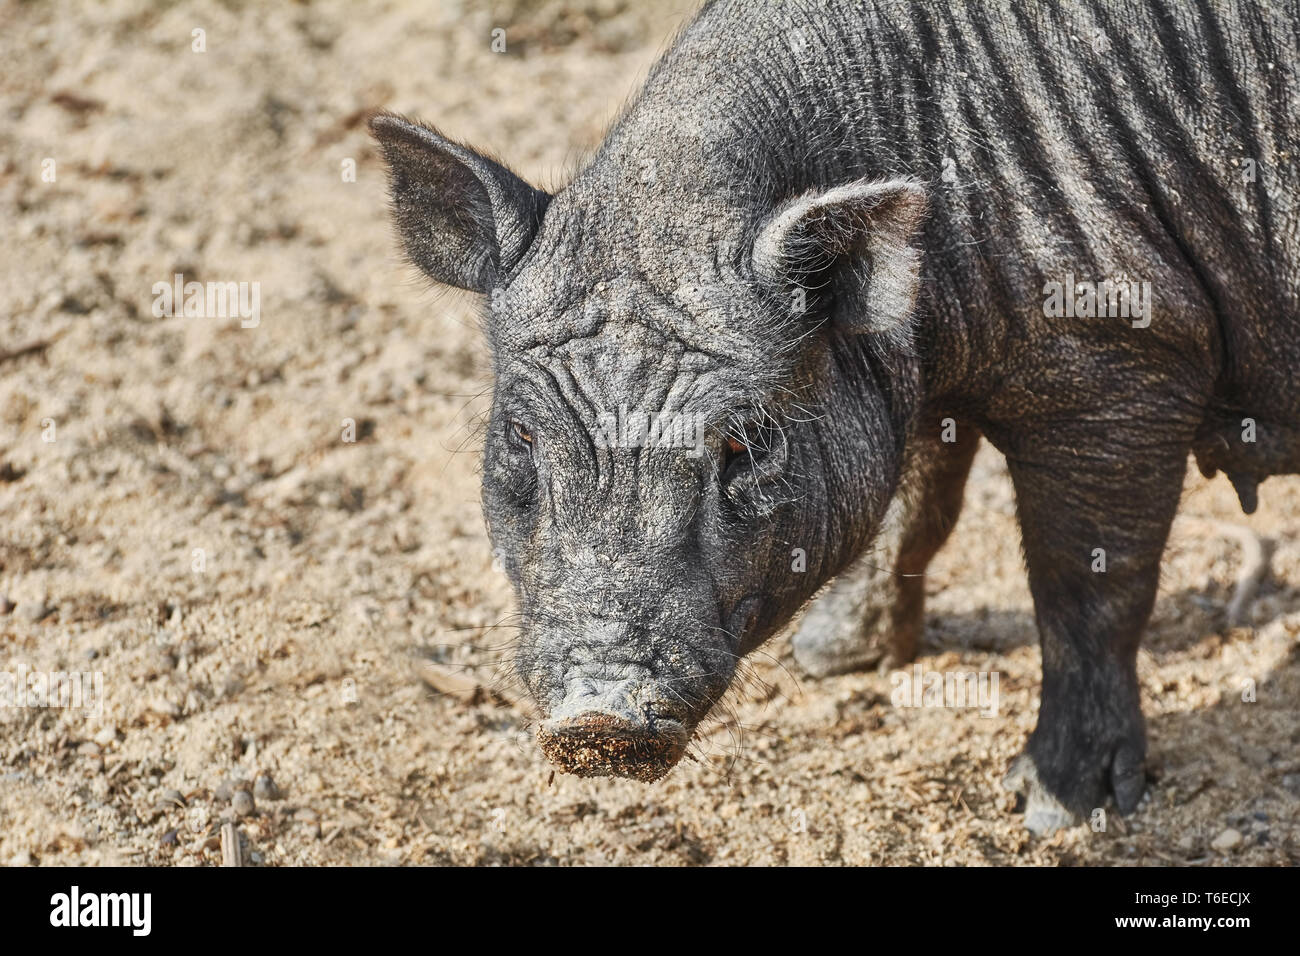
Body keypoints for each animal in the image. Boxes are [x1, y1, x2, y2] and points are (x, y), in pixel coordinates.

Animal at [371, 0, 1300, 832]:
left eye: (743, 443)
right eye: (522, 436)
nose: (597, 718)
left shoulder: (1125, 360)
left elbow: (1087, 586)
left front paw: (1053, 807)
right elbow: (920, 499)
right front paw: (833, 657)